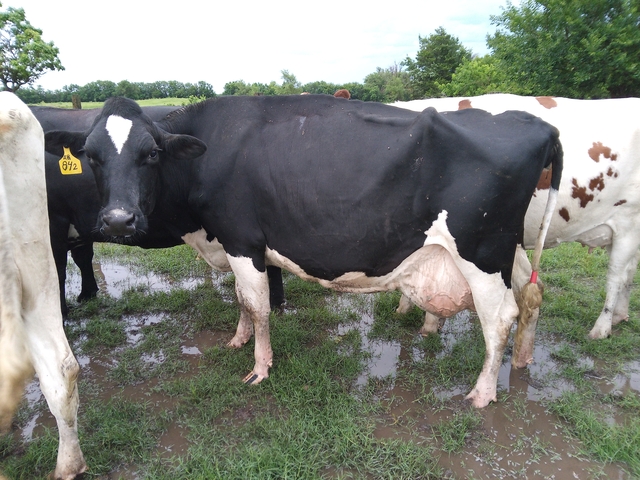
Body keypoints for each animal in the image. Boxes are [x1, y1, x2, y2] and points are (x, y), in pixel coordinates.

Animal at [45, 95, 562, 408]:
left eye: (150, 153)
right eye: (91, 156)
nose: (118, 221)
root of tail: (536, 124)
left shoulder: (242, 238)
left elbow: (257, 305)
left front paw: (259, 367)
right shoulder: (237, 244)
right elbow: (242, 300)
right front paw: (238, 340)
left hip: (481, 254)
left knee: (499, 318)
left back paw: (482, 392)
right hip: (509, 247)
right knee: (530, 297)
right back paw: (522, 360)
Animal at [392, 94, 640, 339]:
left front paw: (429, 322)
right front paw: (406, 307)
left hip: (628, 225)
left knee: (616, 277)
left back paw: (602, 327)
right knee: (629, 273)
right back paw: (620, 316)